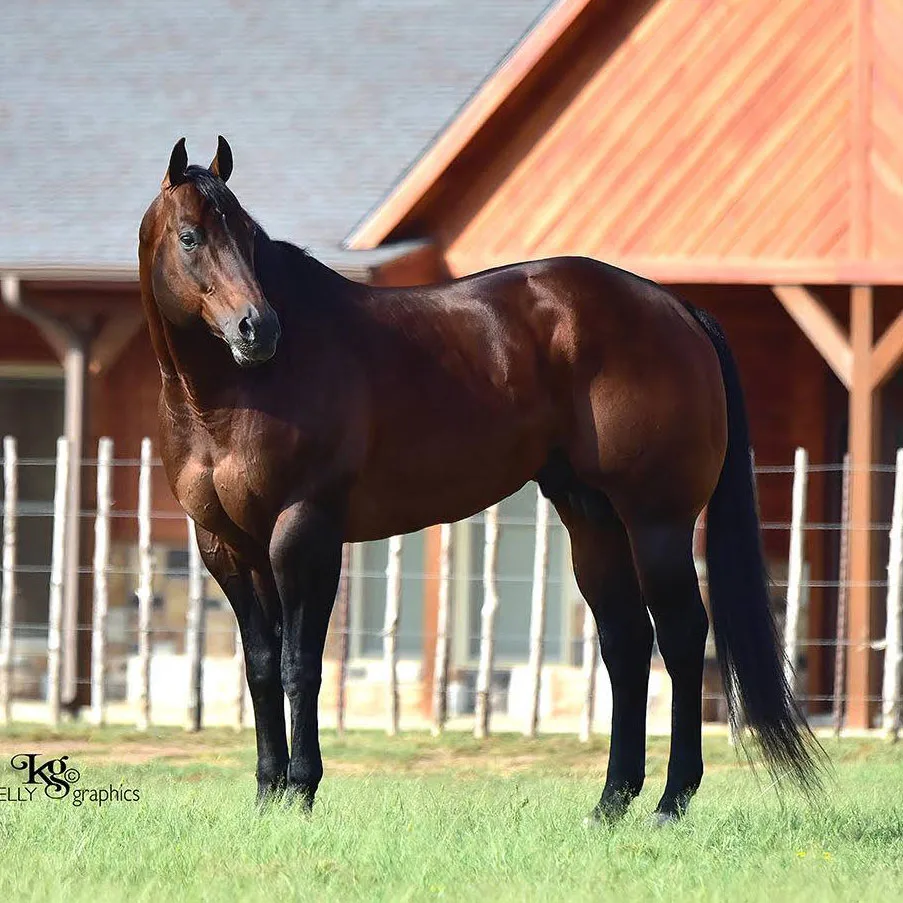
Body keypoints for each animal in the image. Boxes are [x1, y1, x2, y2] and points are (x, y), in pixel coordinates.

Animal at [138, 136, 821, 824]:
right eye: (191, 236)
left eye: (248, 238)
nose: (260, 329)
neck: (233, 396)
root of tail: (678, 308)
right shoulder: (227, 547)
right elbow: (258, 668)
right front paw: (268, 793)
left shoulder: (302, 535)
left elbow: (299, 666)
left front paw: (301, 790)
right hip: (592, 520)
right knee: (626, 644)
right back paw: (611, 802)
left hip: (658, 524)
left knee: (681, 639)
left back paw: (671, 800)